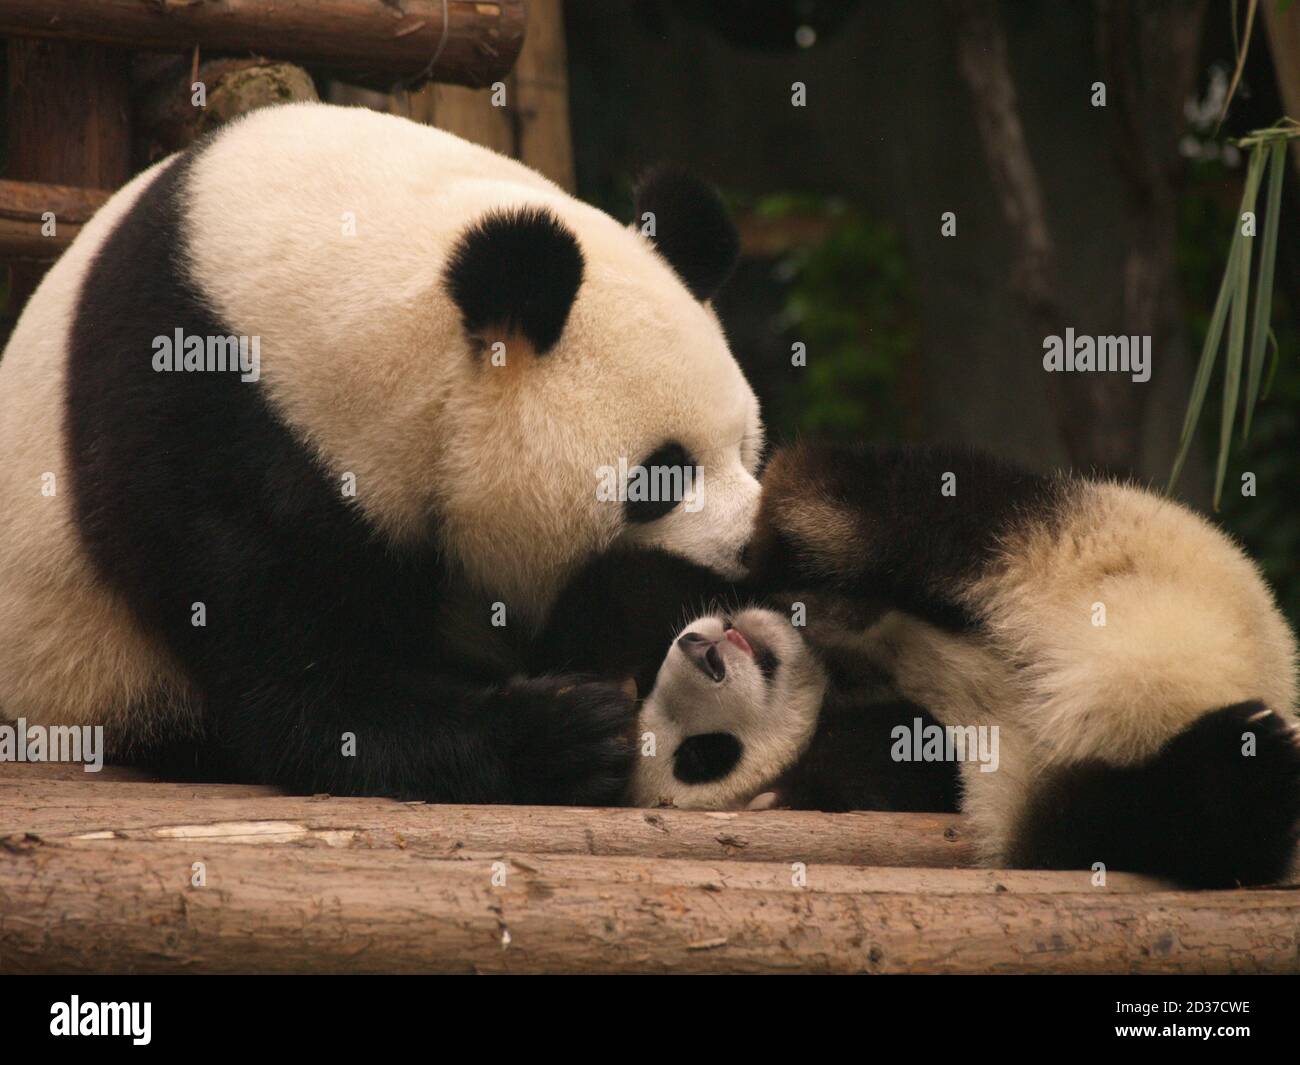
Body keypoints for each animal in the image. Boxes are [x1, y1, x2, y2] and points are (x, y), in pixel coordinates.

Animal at [0, 102, 763, 804]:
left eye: (746, 447)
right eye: (663, 474)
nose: (749, 548)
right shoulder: (200, 414)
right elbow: (295, 681)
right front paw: (564, 733)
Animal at [542, 443, 1300, 888]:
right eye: (702, 757)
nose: (704, 653)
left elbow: (627, 584)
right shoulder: (920, 758)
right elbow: (894, 757)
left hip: (1071, 539)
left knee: (890, 507)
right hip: (1069, 813)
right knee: (1170, 822)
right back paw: (1243, 759)